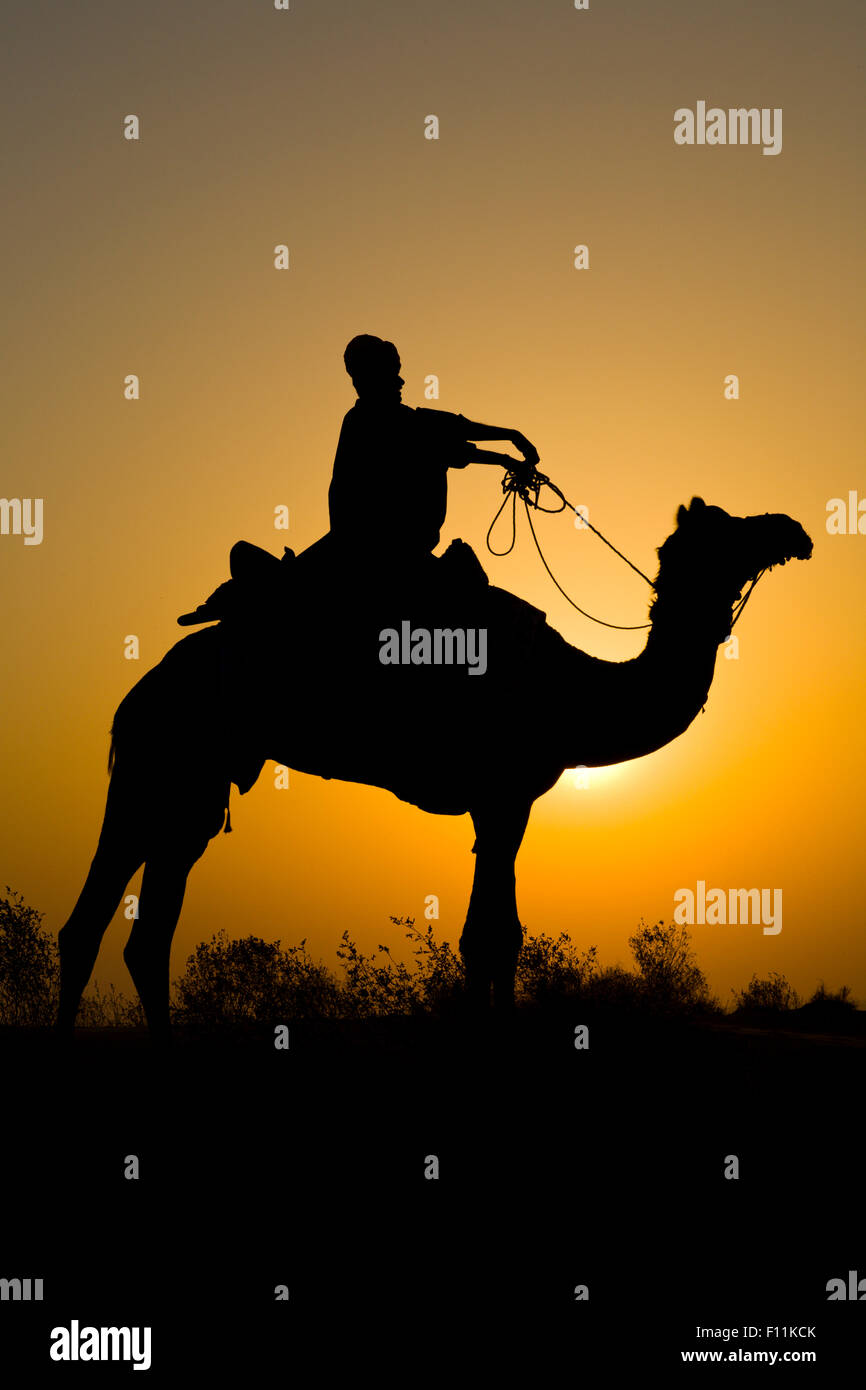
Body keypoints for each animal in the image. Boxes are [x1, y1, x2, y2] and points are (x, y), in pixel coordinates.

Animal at [55, 496, 812, 1038]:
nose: (794, 530)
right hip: (163, 763)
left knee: (135, 927)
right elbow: (491, 936)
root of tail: (137, 694)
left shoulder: (503, 802)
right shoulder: (505, 795)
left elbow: (496, 933)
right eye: (730, 528)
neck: (573, 689)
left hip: (188, 784)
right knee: (104, 920)